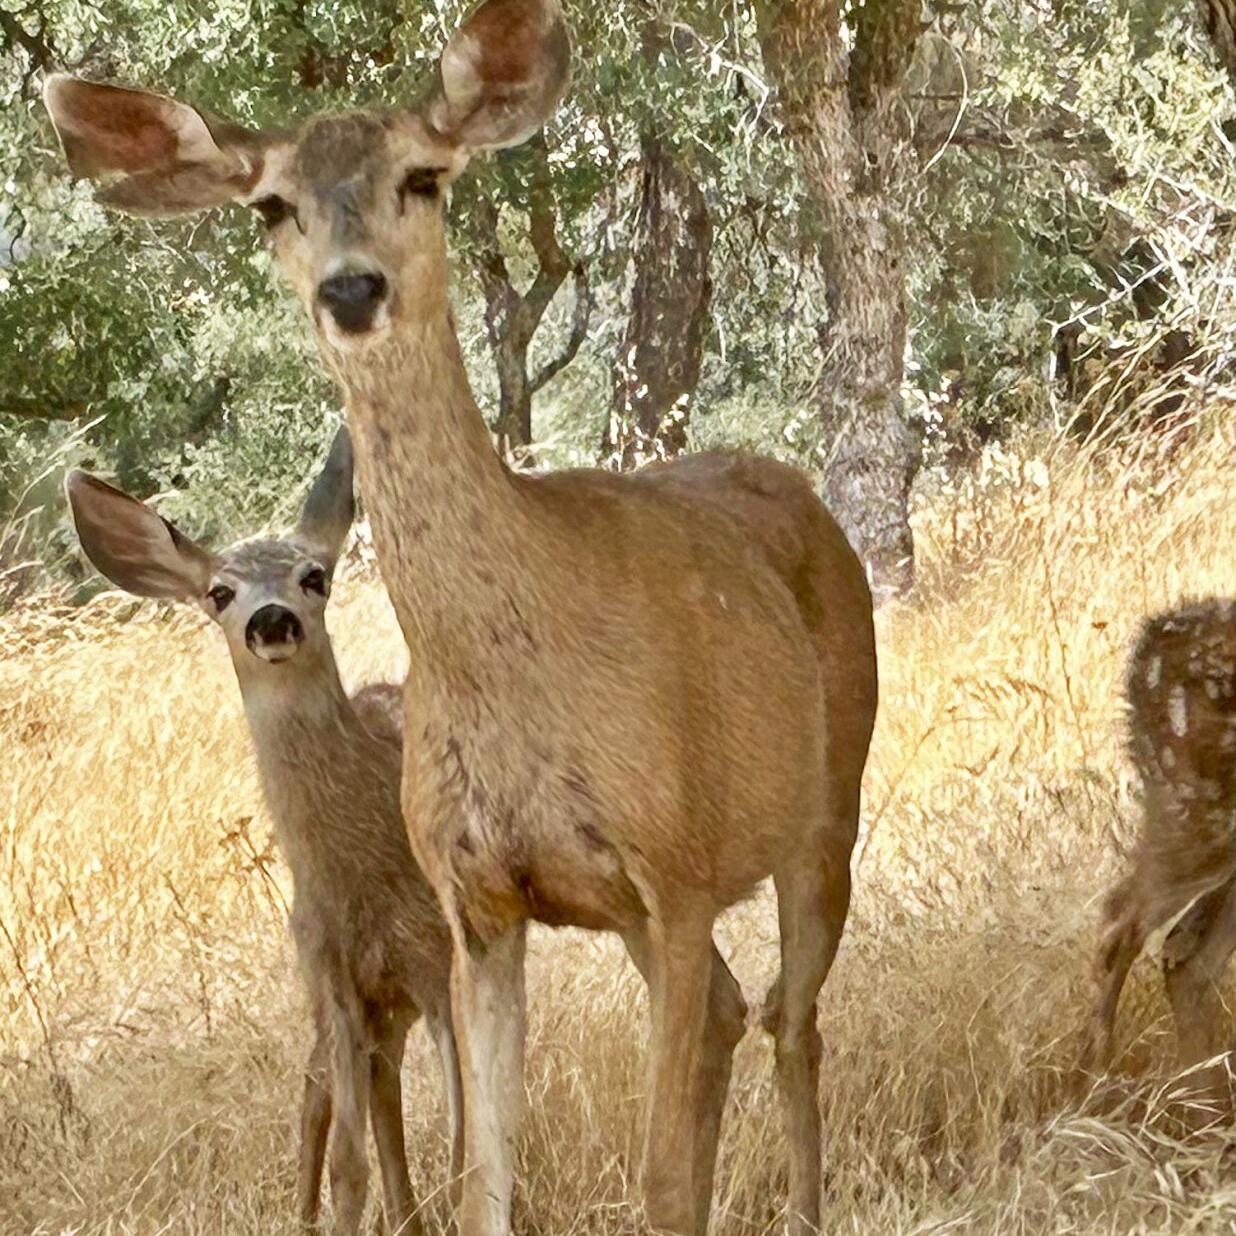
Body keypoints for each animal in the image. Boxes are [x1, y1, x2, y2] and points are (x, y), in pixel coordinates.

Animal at [64, 428, 462, 1235]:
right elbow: (348, 1159)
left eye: (316, 576)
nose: (271, 619)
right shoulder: (331, 972)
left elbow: (473, 1128)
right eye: (220, 592)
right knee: (328, 1092)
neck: (370, 878)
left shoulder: (439, 953)